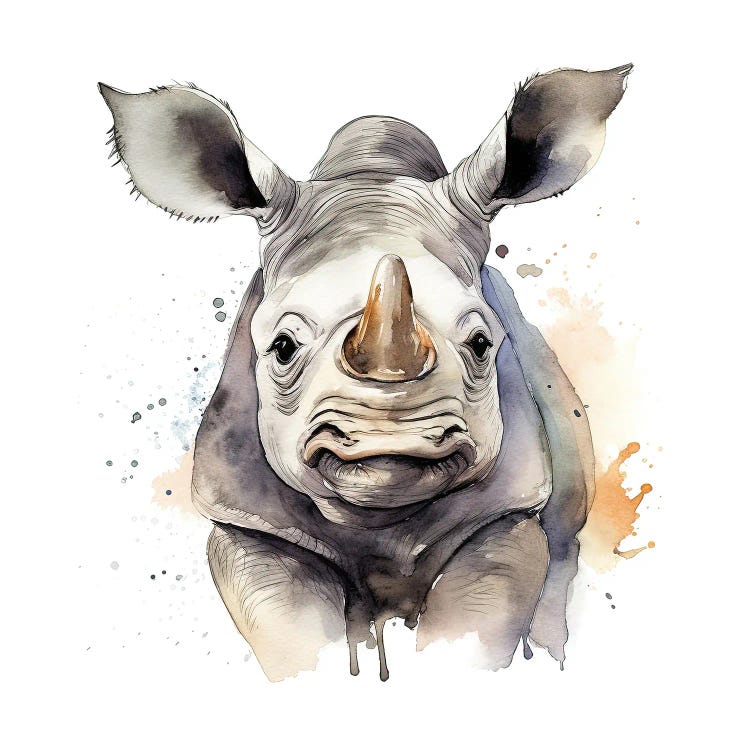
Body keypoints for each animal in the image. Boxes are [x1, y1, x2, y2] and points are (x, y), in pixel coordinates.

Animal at [100, 64, 630, 681]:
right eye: (281, 347)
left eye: (481, 344)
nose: (388, 440)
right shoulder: (248, 520)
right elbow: (296, 638)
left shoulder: (506, 513)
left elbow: (476, 627)